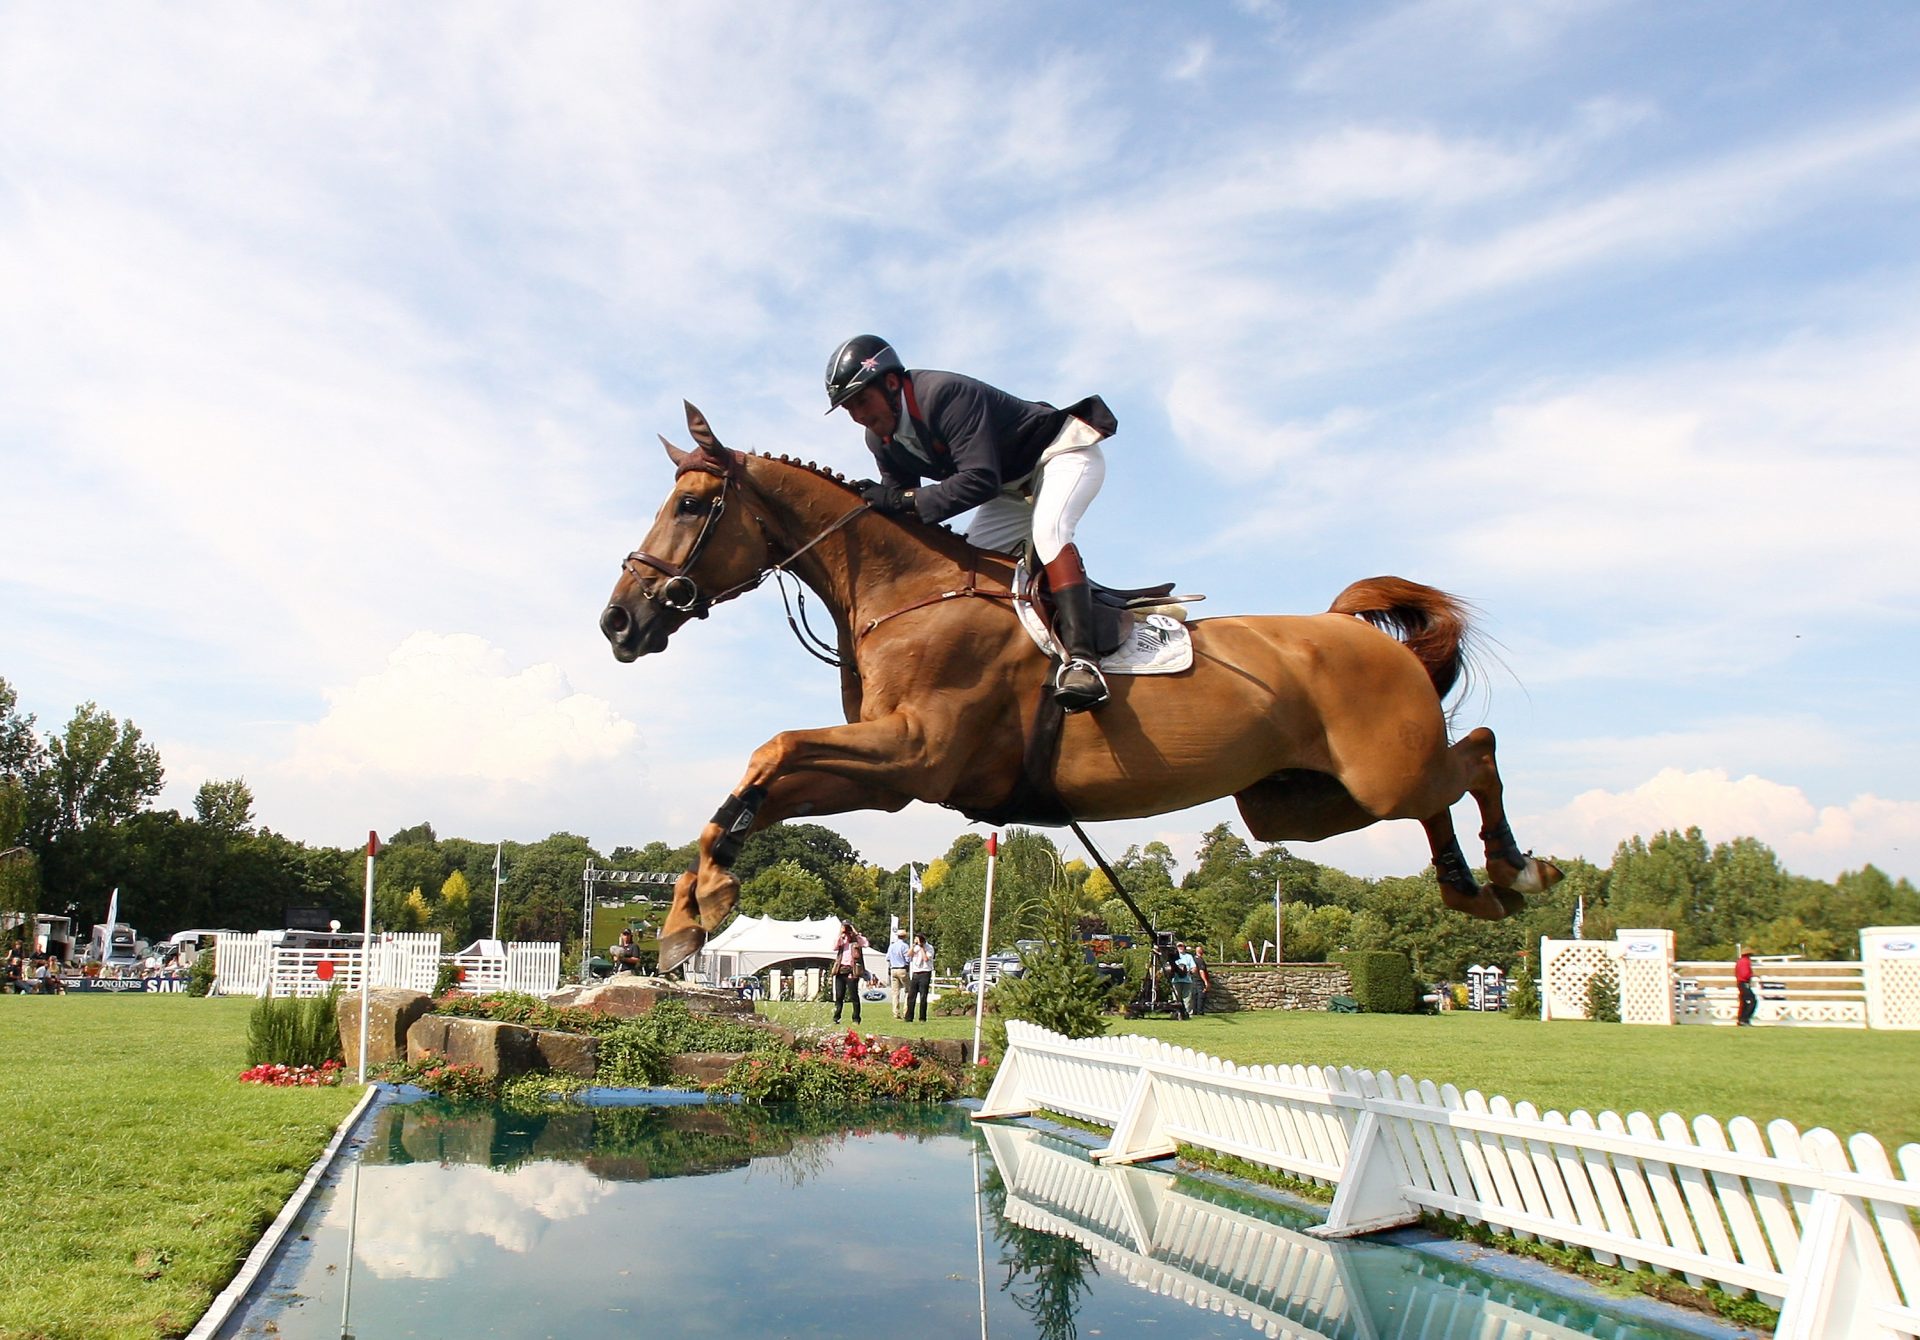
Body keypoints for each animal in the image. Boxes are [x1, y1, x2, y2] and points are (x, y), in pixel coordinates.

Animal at [601, 403, 1562, 972]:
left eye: (693, 506)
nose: (619, 621)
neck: (906, 593)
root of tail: (1363, 637)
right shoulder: (892, 777)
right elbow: (758, 788)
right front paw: (691, 910)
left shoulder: (914, 755)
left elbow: (772, 750)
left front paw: (702, 902)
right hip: (1297, 805)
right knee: (1444, 785)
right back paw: (1472, 886)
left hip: (1378, 774)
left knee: (1474, 755)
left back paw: (1517, 867)